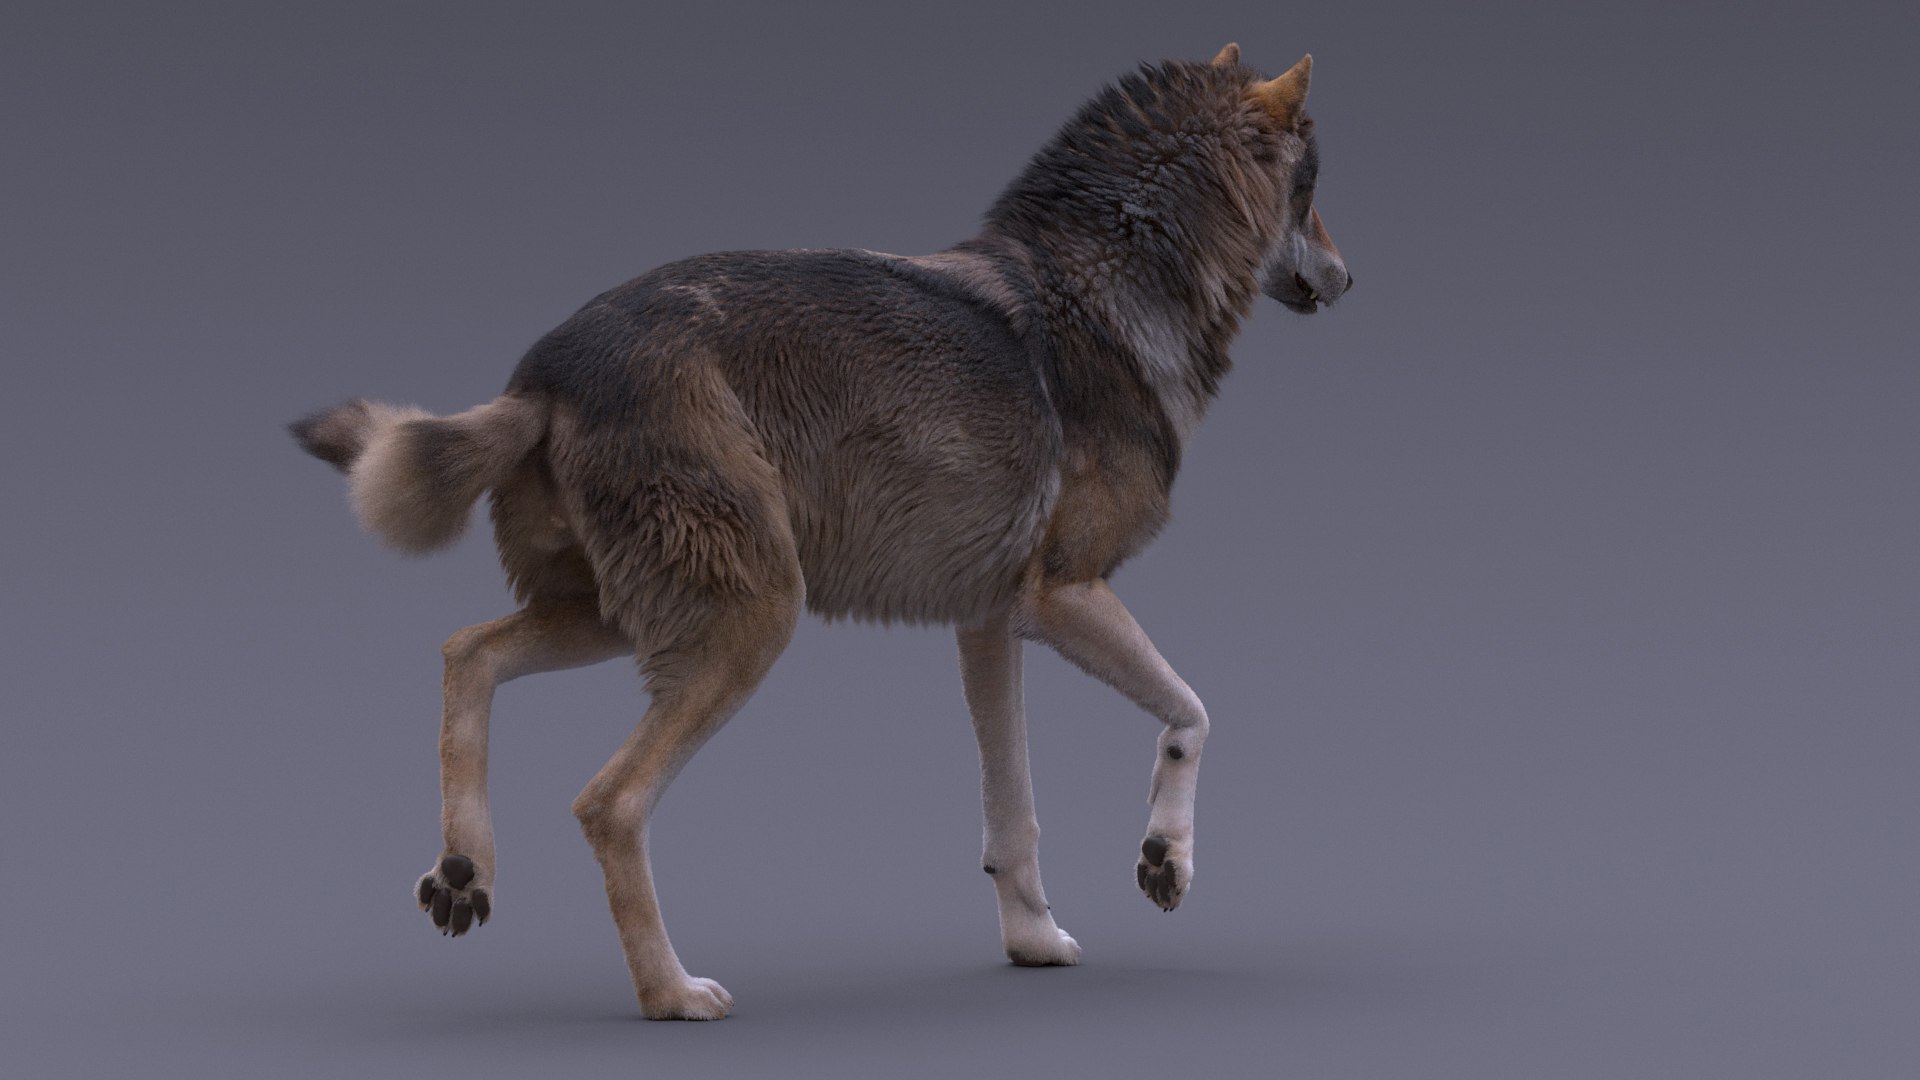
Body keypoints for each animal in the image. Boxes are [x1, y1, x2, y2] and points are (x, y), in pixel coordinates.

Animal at [292, 43, 1350, 1020]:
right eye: (1311, 189)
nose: (1348, 278)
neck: (1108, 288)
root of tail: (544, 376)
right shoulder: (1066, 592)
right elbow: (1193, 713)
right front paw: (1165, 860)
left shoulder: (988, 624)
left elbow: (1014, 814)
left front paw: (1034, 942)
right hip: (751, 621)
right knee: (607, 803)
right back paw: (672, 995)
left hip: (624, 618)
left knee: (464, 650)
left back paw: (462, 873)